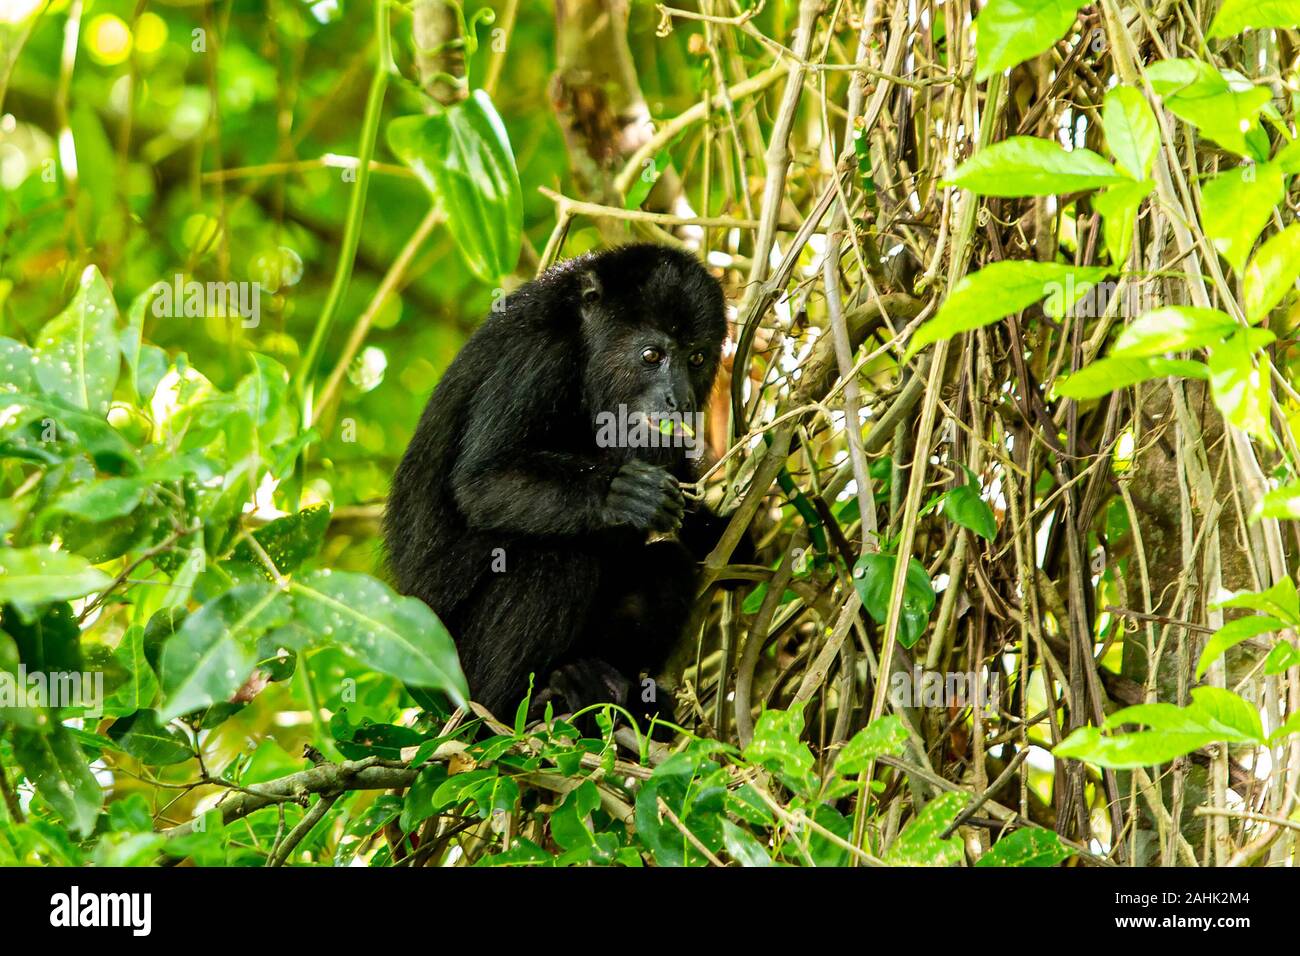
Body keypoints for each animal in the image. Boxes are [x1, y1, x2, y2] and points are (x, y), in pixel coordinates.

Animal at [384, 244, 729, 728]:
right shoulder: (538, 357)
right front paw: (618, 494)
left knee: (668, 566)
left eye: (696, 358)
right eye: (651, 356)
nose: (678, 400)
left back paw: (613, 690)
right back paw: (510, 712)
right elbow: (481, 481)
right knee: (556, 559)